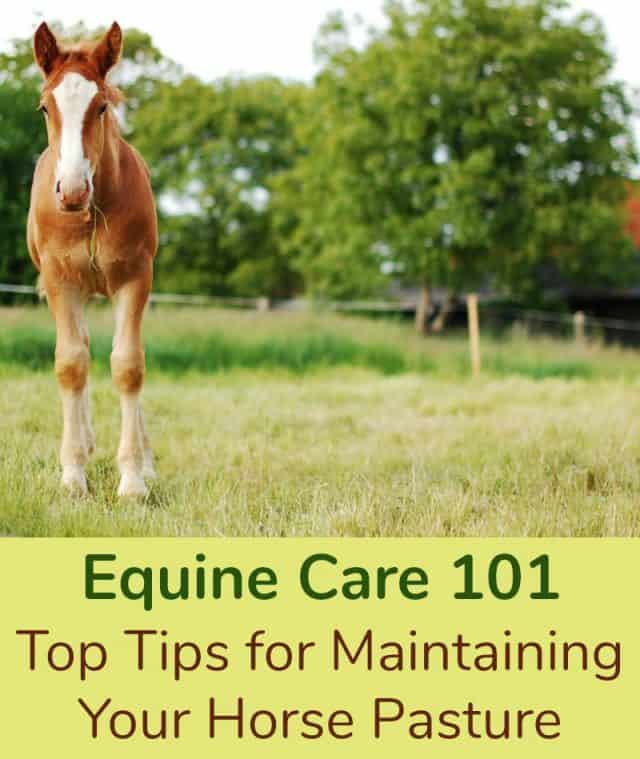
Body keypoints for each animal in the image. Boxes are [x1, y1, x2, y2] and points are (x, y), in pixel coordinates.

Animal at [27, 22, 158, 498]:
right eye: (44, 108)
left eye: (101, 106)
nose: (71, 190)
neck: (92, 211)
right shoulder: (60, 280)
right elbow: (70, 364)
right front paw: (72, 475)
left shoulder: (135, 278)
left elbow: (128, 365)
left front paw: (134, 479)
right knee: (79, 349)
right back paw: (83, 442)